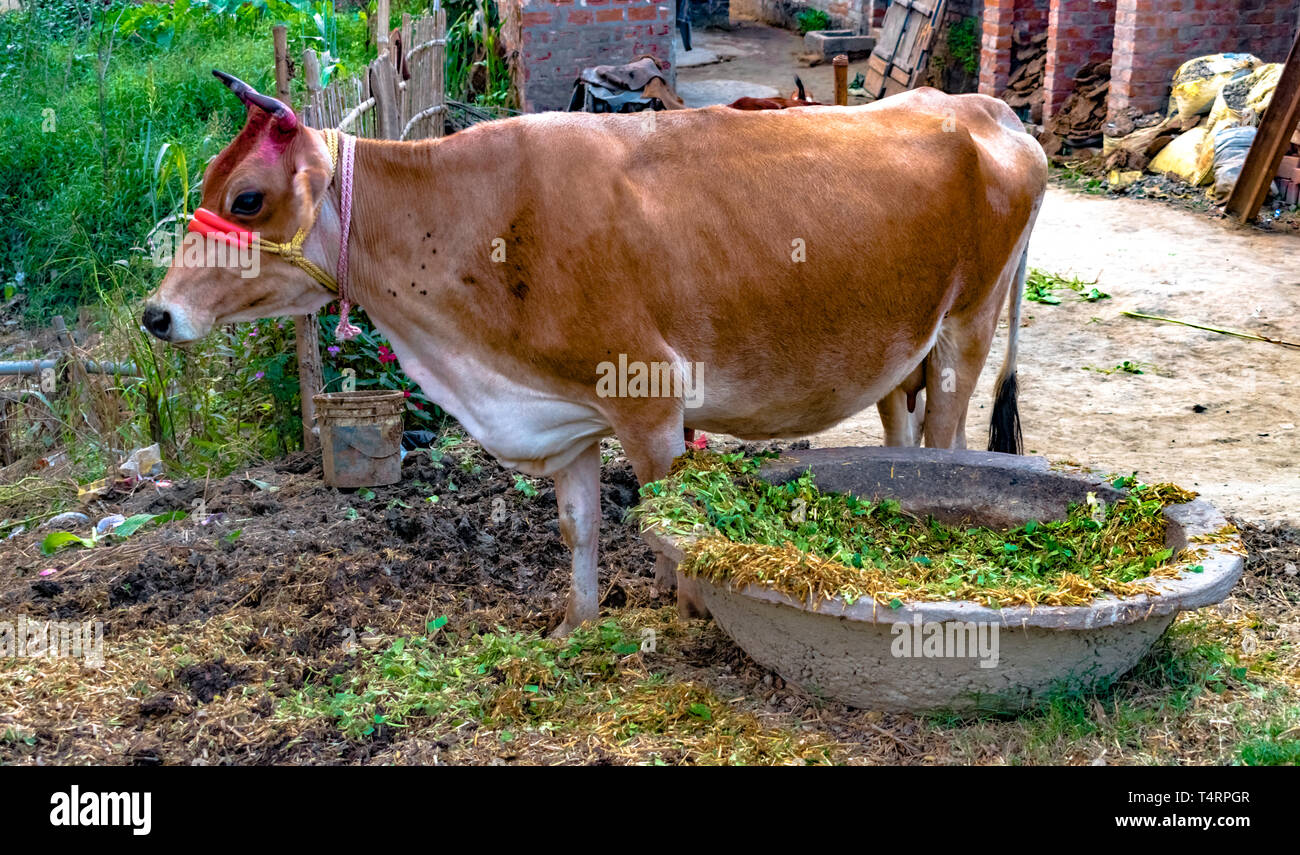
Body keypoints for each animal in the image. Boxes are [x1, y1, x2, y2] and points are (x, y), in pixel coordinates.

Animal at [143, 72, 1047, 634]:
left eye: (247, 199)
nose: (156, 313)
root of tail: (987, 109)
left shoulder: (651, 403)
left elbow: (675, 531)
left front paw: (693, 616)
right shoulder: (567, 413)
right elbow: (577, 525)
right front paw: (574, 623)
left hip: (967, 326)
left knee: (945, 440)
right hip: (900, 350)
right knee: (909, 434)